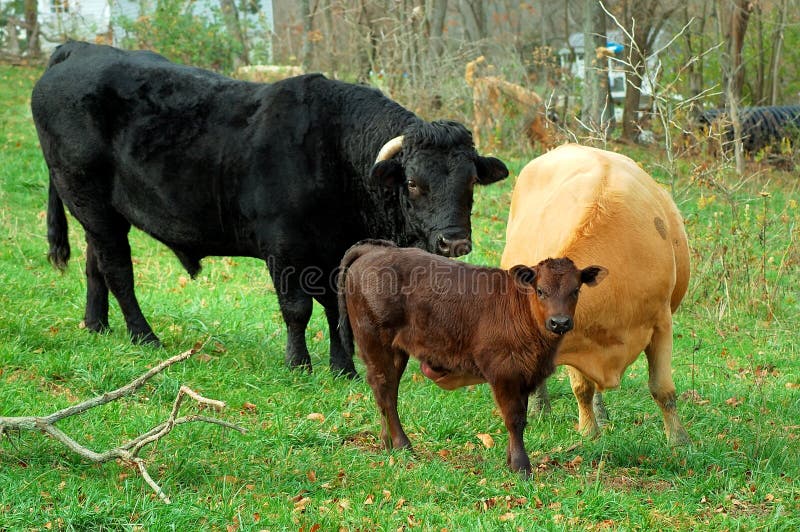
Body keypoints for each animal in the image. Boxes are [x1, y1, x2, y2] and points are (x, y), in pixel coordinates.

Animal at [31, 41, 509, 378]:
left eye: (469, 182)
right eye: (412, 183)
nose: (454, 242)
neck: (332, 151)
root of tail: (78, 49)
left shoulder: (333, 250)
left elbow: (335, 308)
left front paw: (343, 369)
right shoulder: (283, 246)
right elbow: (297, 308)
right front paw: (300, 364)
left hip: (98, 210)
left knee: (95, 263)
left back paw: (97, 326)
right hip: (88, 199)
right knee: (117, 269)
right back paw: (144, 336)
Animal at [337, 239, 606, 476]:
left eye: (575, 290)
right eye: (540, 291)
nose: (559, 322)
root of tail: (374, 250)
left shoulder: (525, 375)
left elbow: (520, 418)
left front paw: (511, 460)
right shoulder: (504, 372)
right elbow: (514, 419)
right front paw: (521, 467)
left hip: (394, 351)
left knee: (387, 392)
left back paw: (388, 443)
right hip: (375, 341)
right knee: (384, 390)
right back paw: (403, 445)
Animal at [500, 144, 691, 445]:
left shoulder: (662, 321)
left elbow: (663, 388)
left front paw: (679, 440)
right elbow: (581, 387)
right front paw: (589, 432)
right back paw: (543, 408)